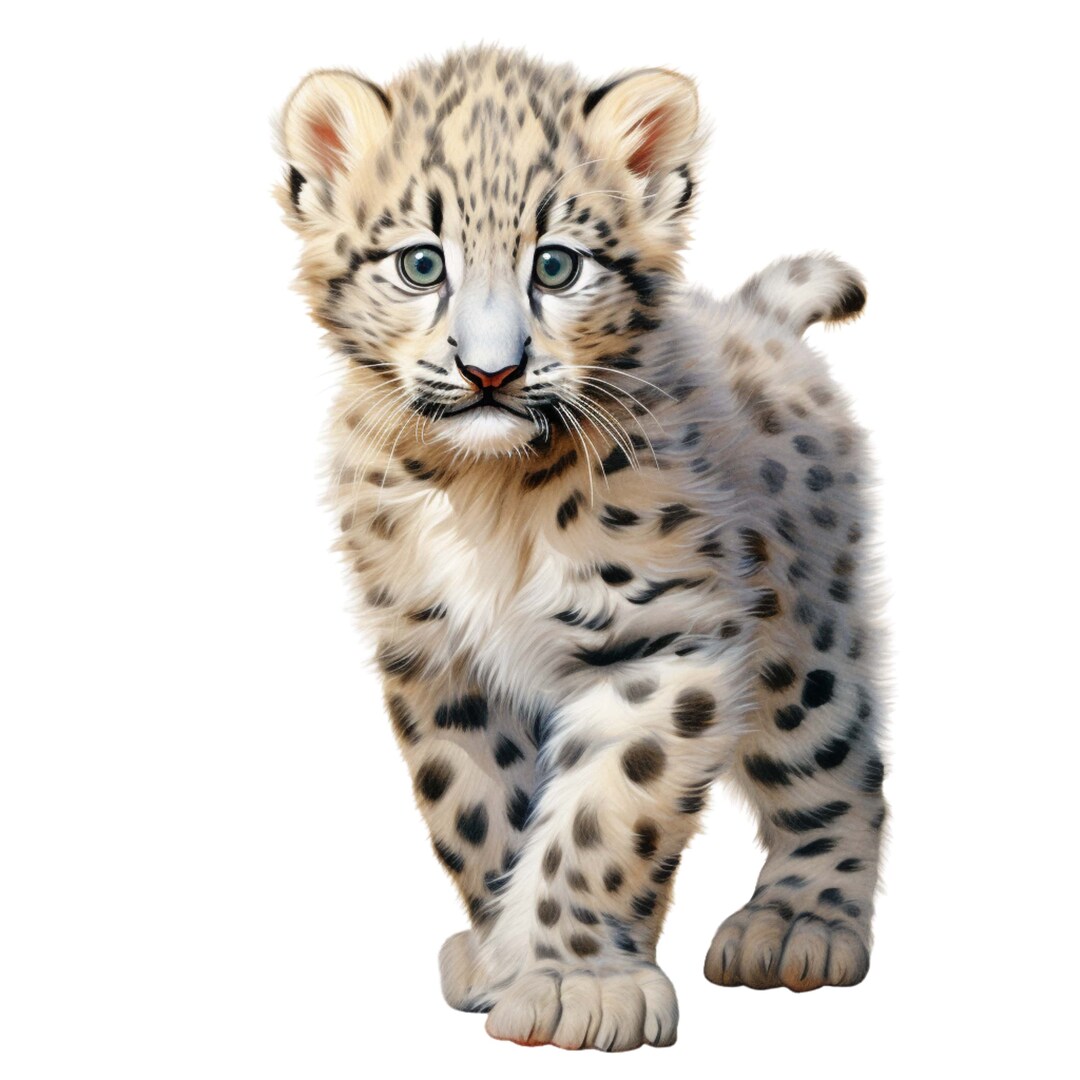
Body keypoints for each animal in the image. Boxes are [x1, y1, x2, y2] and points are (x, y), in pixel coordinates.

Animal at [274, 44, 887, 1052]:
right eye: (421, 264)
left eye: (557, 265)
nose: (490, 371)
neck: (486, 493)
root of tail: (758, 322)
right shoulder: (437, 653)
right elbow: (479, 806)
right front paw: (505, 958)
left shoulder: (661, 641)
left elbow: (606, 813)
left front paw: (577, 984)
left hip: (804, 643)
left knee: (837, 770)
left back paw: (799, 924)